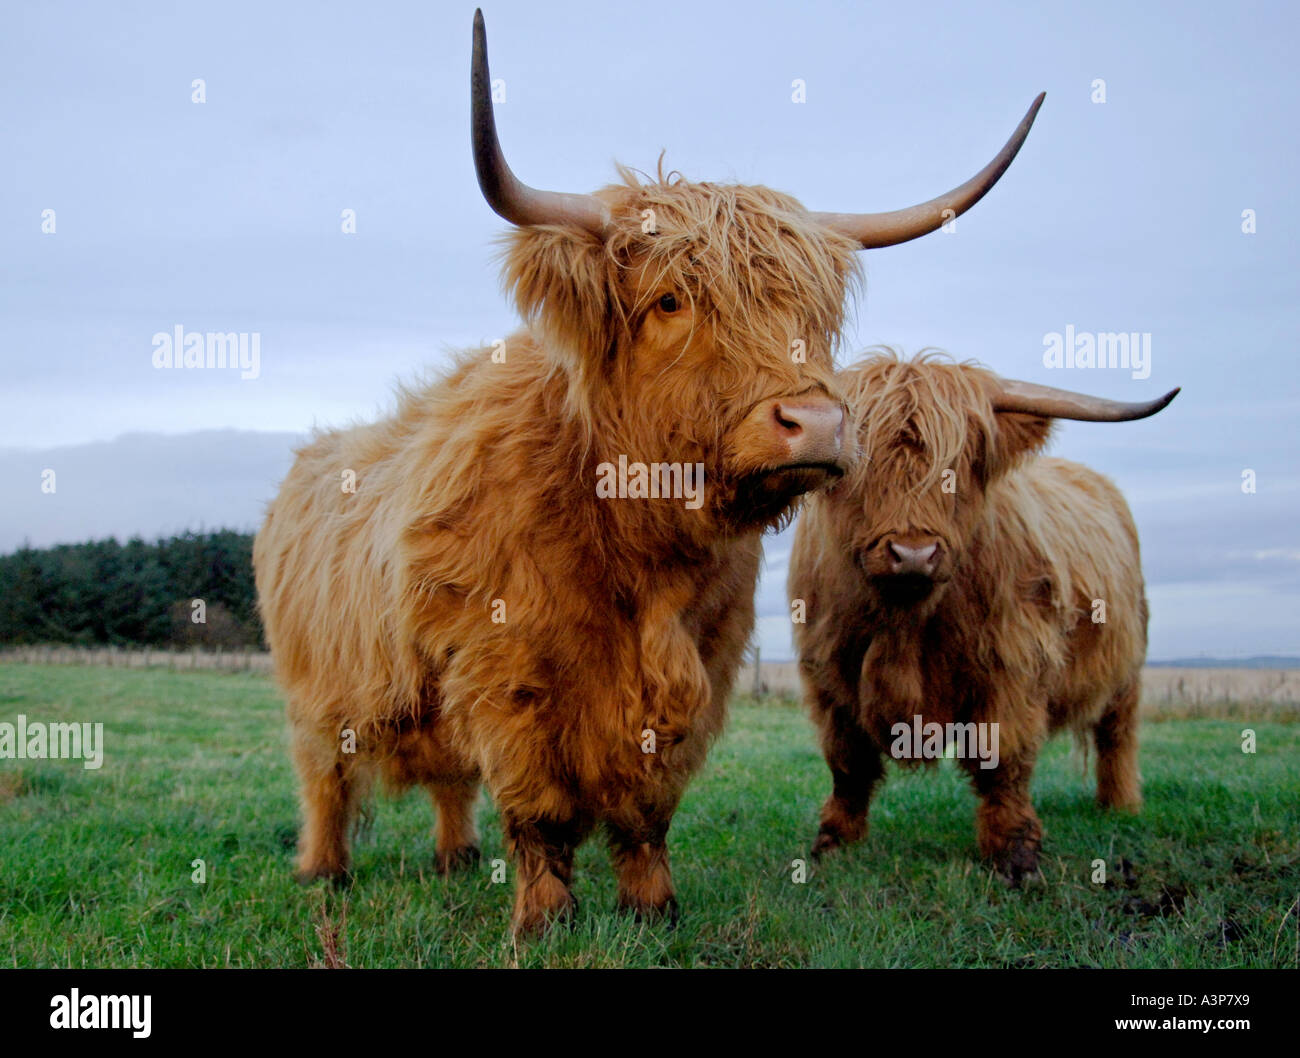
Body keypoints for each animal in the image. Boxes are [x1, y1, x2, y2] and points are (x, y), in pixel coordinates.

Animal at [253, 11, 1044, 935]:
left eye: (812, 315)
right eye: (671, 301)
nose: (815, 423)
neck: (633, 552)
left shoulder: (702, 660)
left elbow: (647, 806)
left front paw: (652, 906)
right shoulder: (506, 669)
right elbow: (539, 808)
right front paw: (545, 919)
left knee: (448, 778)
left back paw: (457, 857)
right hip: (316, 692)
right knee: (325, 780)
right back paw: (323, 871)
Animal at [789, 351, 1177, 883]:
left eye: (962, 462)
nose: (913, 554)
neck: (905, 621)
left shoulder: (1013, 661)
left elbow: (1002, 759)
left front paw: (1016, 854)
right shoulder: (827, 670)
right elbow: (847, 761)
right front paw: (834, 842)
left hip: (1127, 667)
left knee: (1117, 734)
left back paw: (1119, 805)